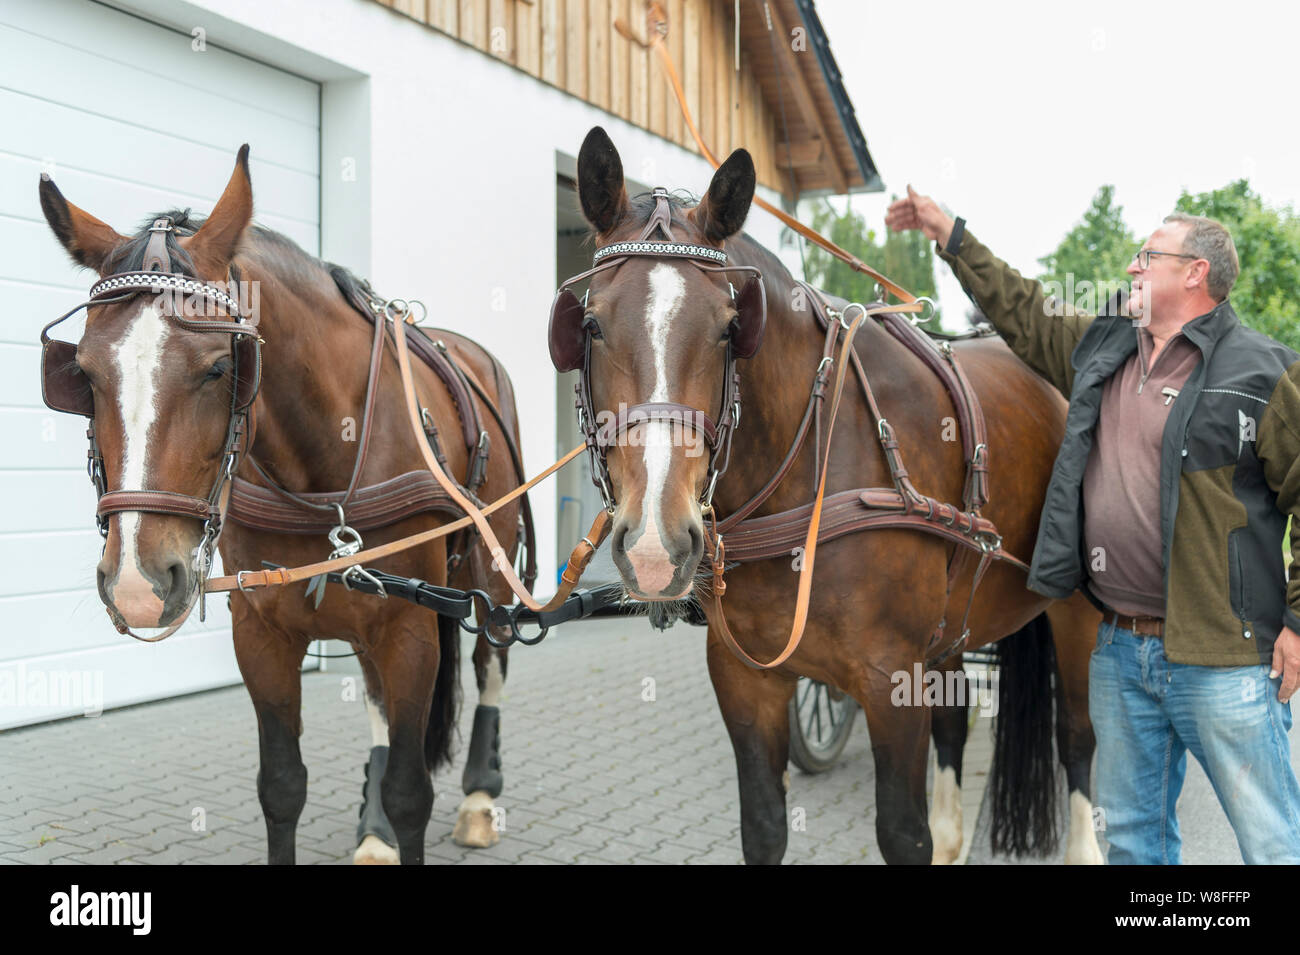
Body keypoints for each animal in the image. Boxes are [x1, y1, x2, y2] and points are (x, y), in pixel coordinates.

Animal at [38, 146, 529, 865]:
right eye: (83, 375)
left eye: (221, 367)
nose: (136, 582)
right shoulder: (262, 631)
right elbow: (281, 785)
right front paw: (368, 817)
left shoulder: (408, 627)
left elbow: (412, 791)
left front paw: (416, 807)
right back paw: (373, 830)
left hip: (486, 577)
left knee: (491, 662)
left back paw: (479, 800)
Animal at [558, 126, 1103, 864]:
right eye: (589, 325)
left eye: (730, 327)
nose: (654, 545)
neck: (814, 462)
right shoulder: (745, 679)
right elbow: (764, 826)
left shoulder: (893, 682)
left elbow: (902, 833)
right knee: (956, 722)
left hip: (1075, 609)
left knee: (1077, 734)